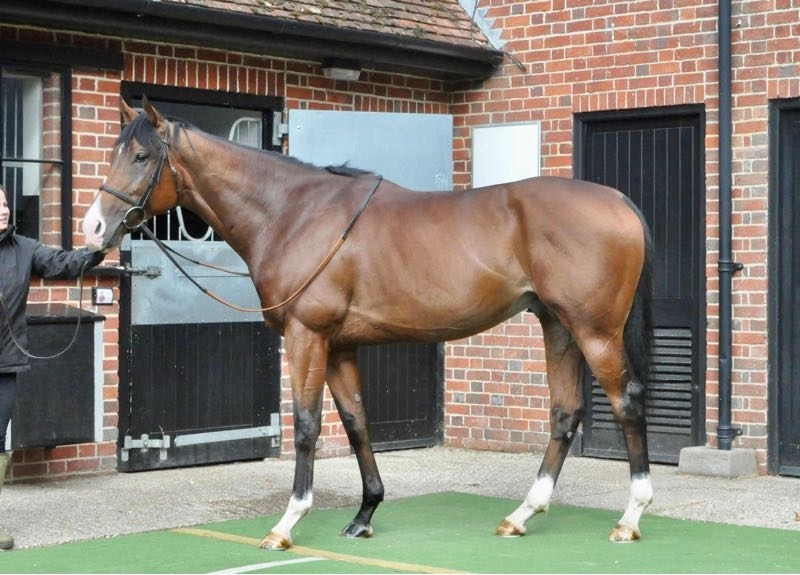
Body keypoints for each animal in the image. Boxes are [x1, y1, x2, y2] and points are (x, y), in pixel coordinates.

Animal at [83, 97, 654, 550]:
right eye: (114, 153)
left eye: (141, 156)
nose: (92, 227)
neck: (293, 214)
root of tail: (619, 201)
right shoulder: (339, 347)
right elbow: (357, 422)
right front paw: (364, 515)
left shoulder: (307, 337)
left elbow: (308, 426)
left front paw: (287, 523)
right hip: (557, 326)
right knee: (564, 413)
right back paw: (521, 515)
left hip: (594, 332)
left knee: (626, 403)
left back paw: (630, 518)